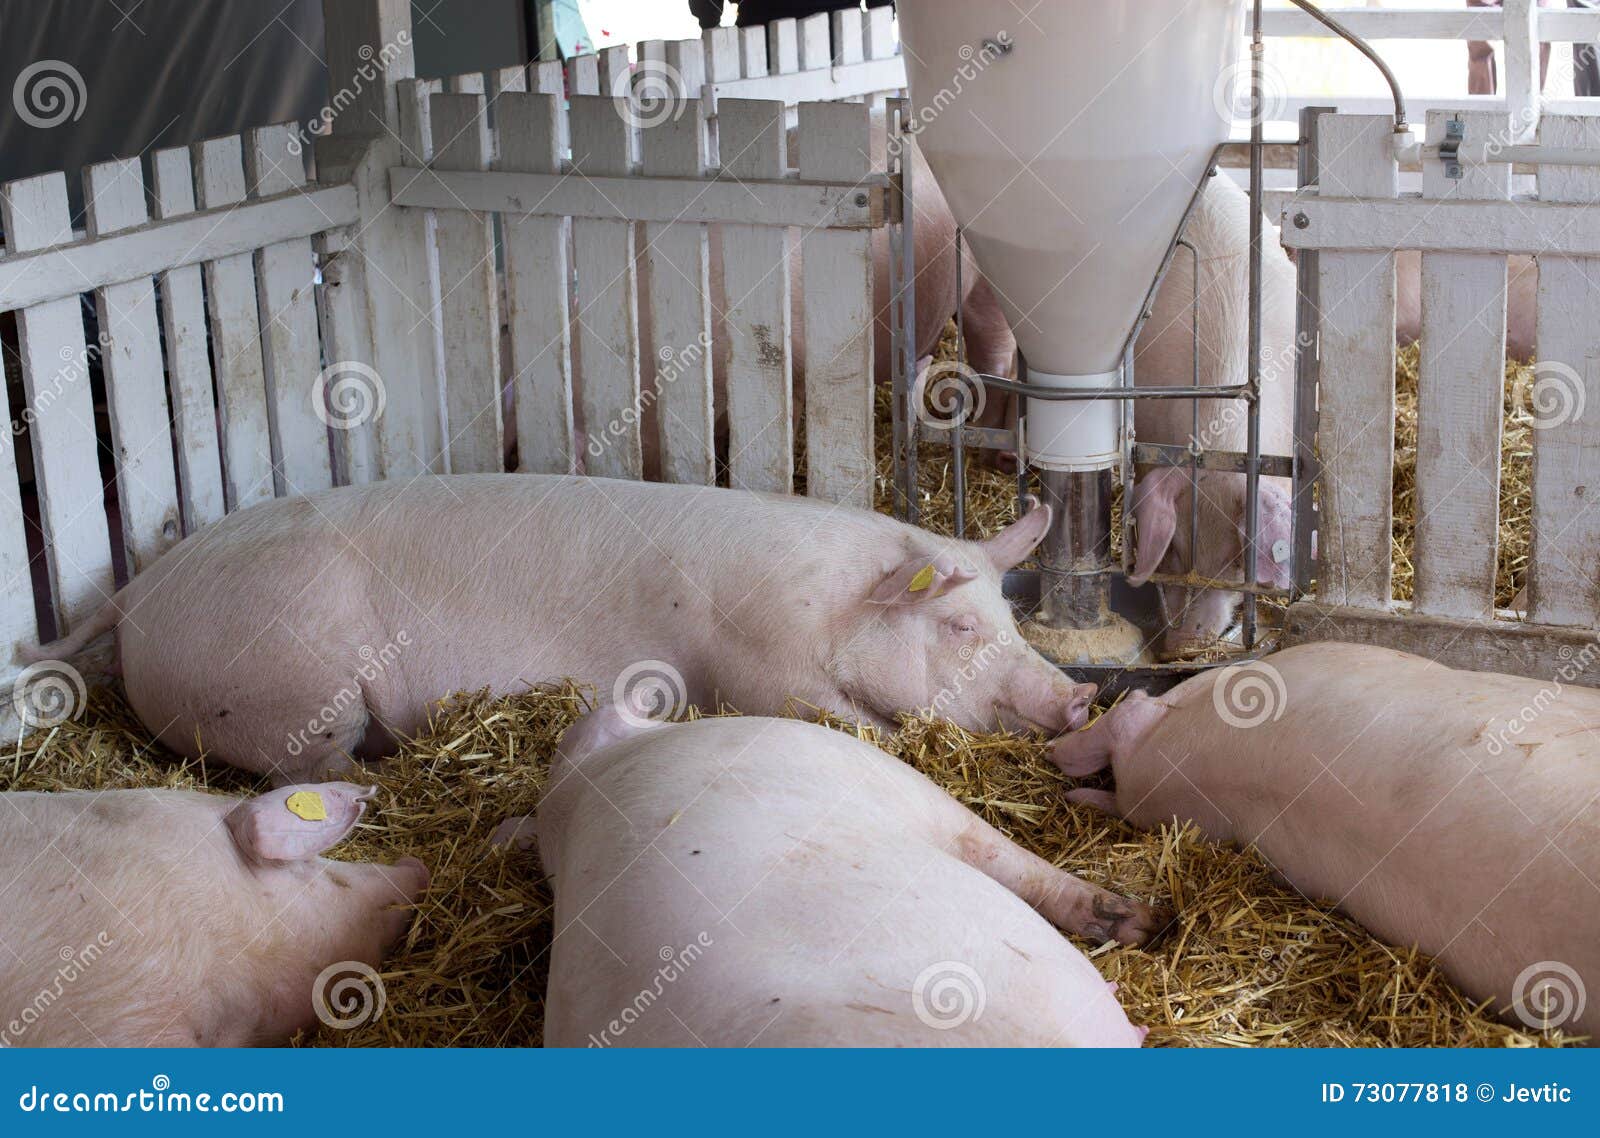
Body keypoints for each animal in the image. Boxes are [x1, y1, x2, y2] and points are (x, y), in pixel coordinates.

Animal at [25, 475, 1095, 786]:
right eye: (958, 622)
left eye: (1009, 616)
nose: (1078, 696)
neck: (830, 602)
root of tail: (138, 592)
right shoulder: (759, 667)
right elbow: (853, 724)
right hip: (288, 689)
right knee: (317, 771)